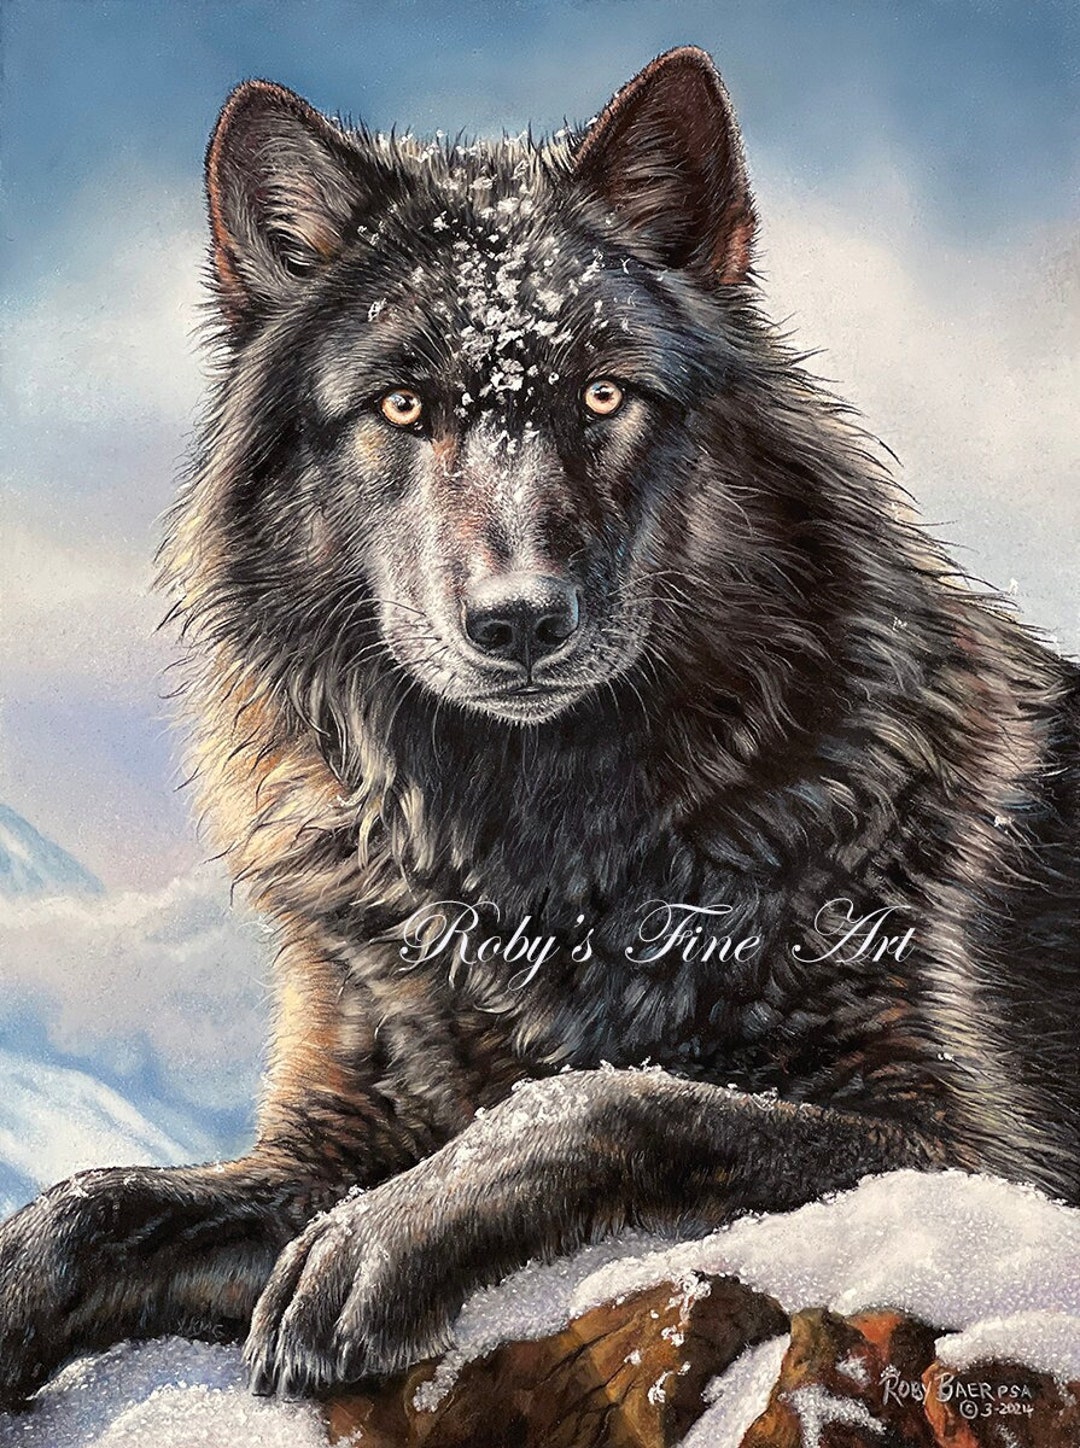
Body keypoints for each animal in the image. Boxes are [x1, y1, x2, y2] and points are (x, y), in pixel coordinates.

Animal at [1, 46, 1077, 1408]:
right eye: (403, 408)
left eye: (604, 395)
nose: (518, 622)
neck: (529, 857)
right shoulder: (316, 1148)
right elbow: (87, 1206)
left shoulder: (980, 1154)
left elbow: (610, 1096)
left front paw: (375, 1242)